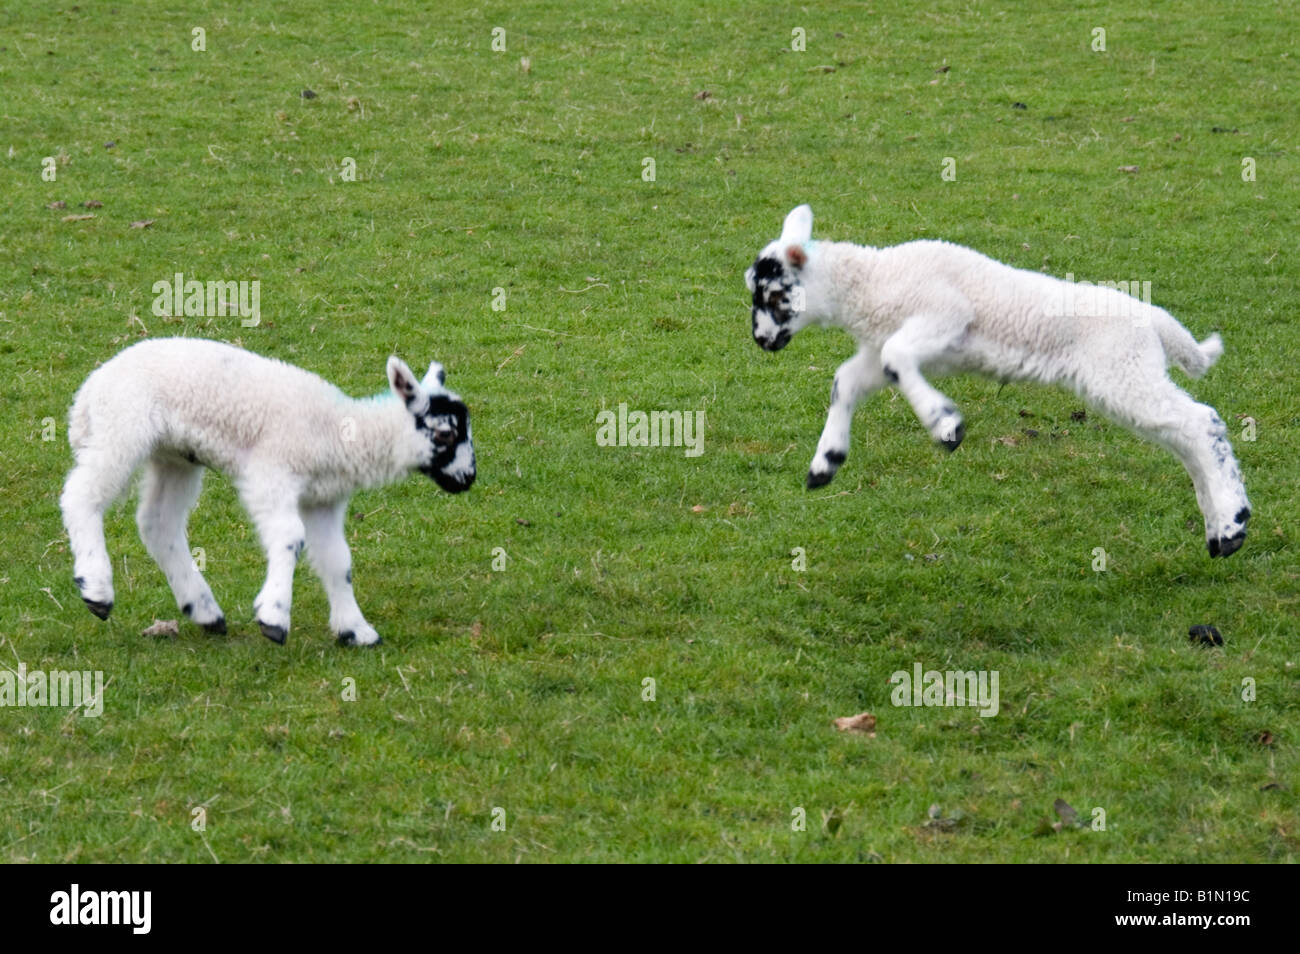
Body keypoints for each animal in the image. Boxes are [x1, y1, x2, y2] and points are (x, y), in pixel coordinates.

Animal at [59, 337, 476, 646]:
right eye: (444, 434)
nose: (468, 478)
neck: (340, 431)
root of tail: (90, 390)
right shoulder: (270, 475)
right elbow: (291, 538)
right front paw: (274, 616)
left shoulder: (323, 500)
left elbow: (338, 561)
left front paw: (356, 630)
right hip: (123, 427)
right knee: (81, 495)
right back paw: (96, 588)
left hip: (174, 455)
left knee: (157, 523)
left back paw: (203, 610)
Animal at [746, 204, 1250, 557]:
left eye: (774, 295)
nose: (760, 340)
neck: (869, 281)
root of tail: (1154, 320)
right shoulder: (884, 345)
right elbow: (848, 380)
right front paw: (825, 464)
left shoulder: (945, 314)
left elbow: (897, 359)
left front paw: (946, 425)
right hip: (1129, 376)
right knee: (1186, 439)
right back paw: (1219, 530)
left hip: (1124, 369)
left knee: (1201, 422)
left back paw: (1231, 524)